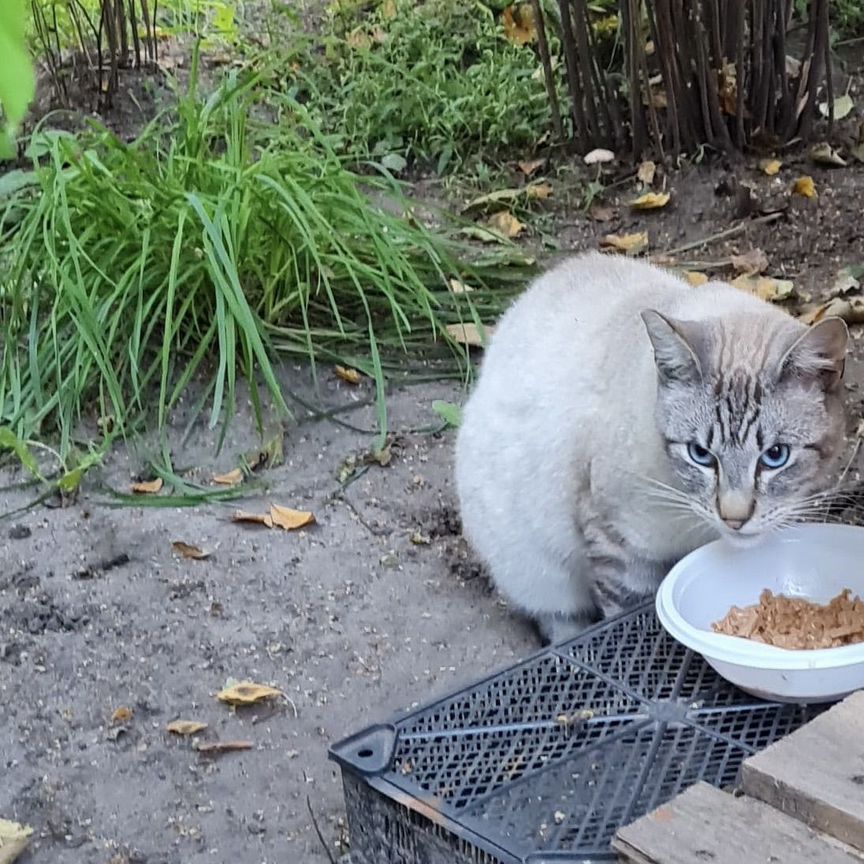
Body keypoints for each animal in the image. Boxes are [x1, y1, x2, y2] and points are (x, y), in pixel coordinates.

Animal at [456, 250, 848, 640]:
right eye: (700, 455)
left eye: (775, 456)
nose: (734, 519)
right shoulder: (620, 549)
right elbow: (623, 618)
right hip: (534, 568)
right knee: (558, 616)